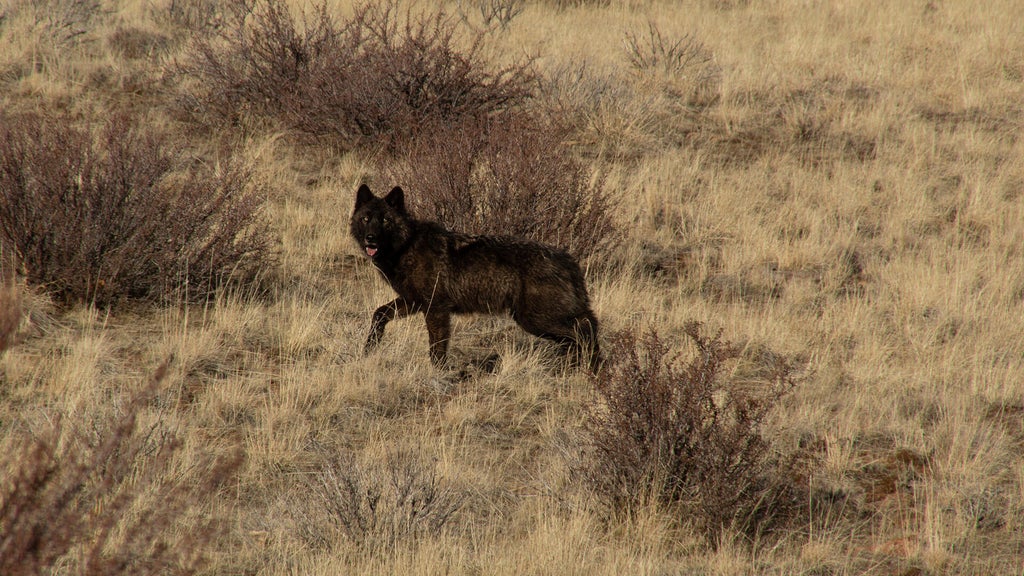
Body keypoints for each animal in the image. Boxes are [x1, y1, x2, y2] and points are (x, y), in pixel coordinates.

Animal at [350, 184, 600, 371]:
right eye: (366, 219)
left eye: (385, 220)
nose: (371, 239)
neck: (405, 247)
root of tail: (569, 260)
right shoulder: (413, 302)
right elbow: (379, 314)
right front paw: (369, 348)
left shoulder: (435, 308)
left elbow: (436, 347)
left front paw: (438, 373)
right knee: (587, 328)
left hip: (535, 320)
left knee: (583, 332)